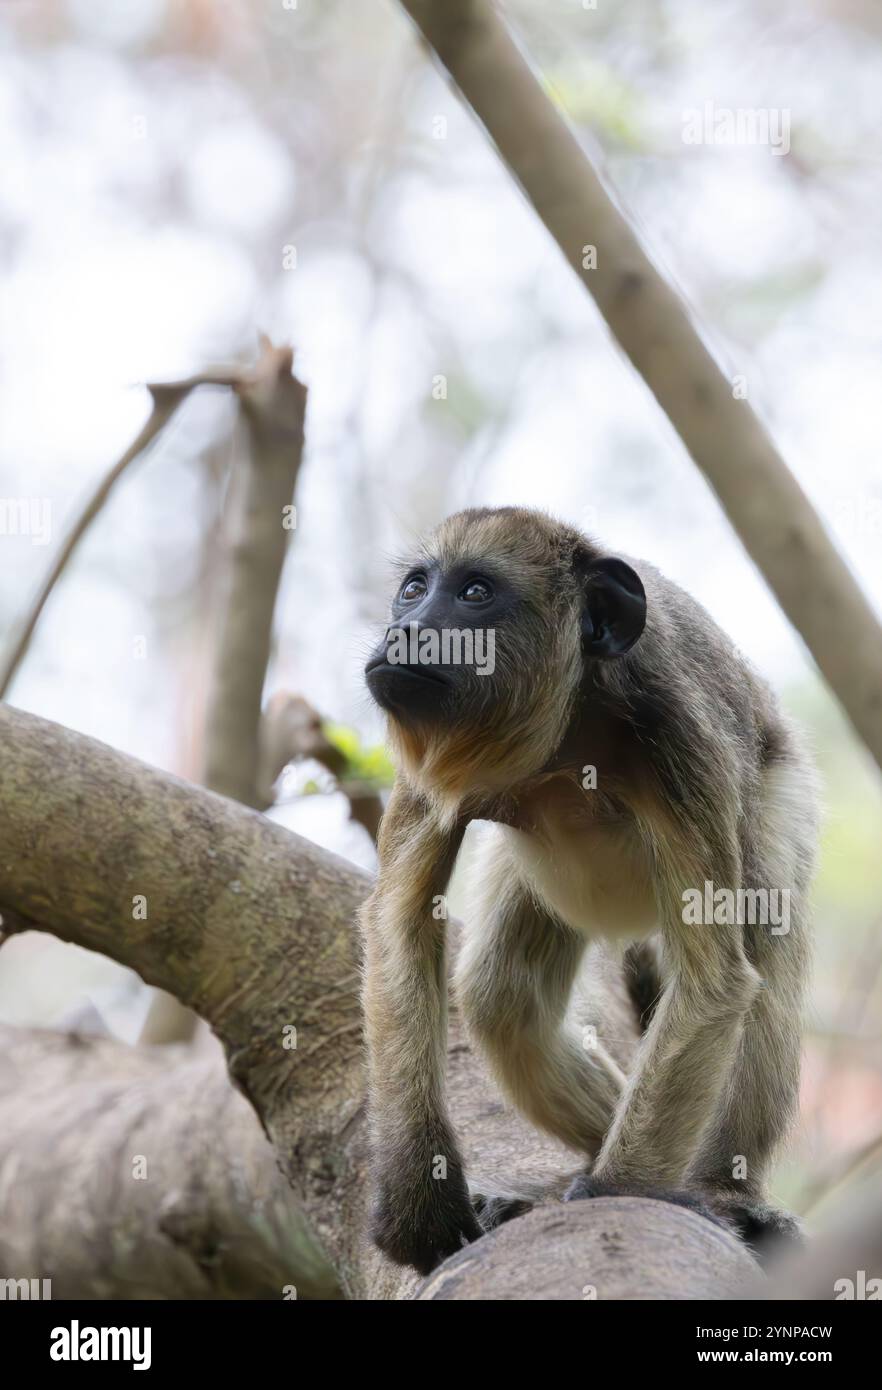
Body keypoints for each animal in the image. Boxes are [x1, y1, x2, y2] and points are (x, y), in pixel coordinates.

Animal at [360, 506, 818, 1275]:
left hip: (778, 783)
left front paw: (618, 1190)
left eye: (475, 593)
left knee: (764, 957)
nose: (407, 629)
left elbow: (716, 981)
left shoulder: (674, 735)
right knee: (501, 997)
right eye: (414, 589)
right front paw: (418, 1200)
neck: (568, 729)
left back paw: (720, 1194)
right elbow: (399, 922)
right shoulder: (424, 746)